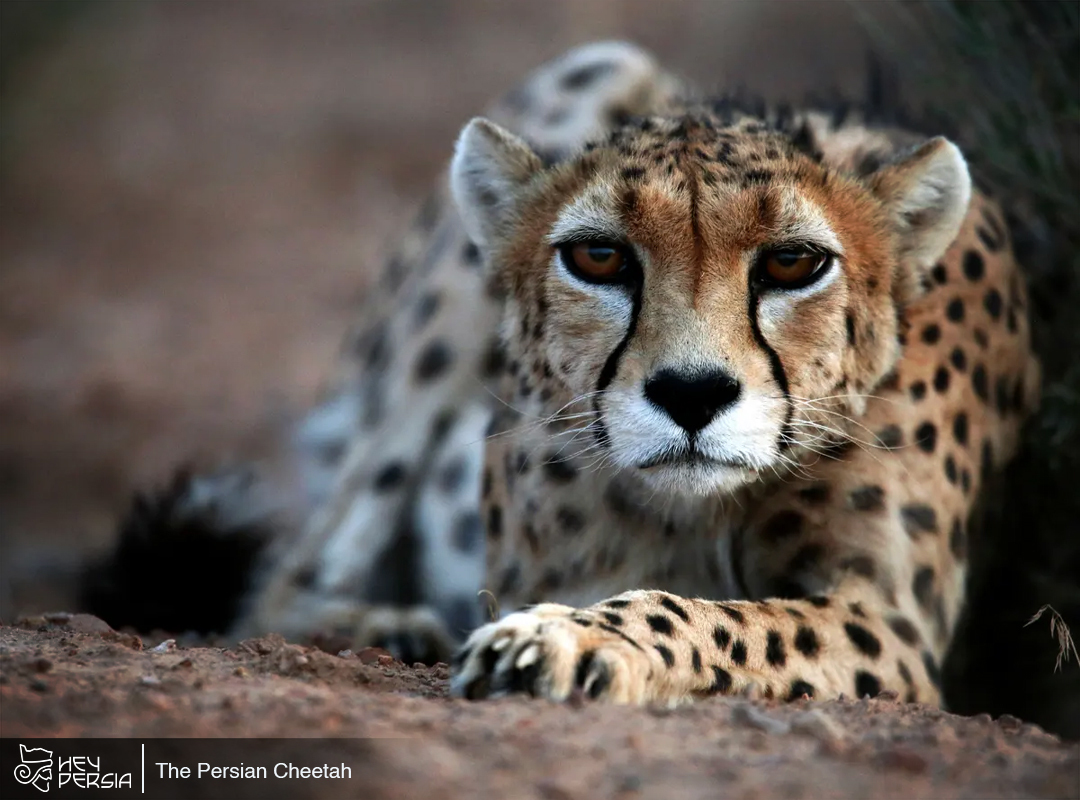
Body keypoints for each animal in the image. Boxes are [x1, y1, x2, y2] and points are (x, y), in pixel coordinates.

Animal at [95, 41, 1039, 710]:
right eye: (599, 257)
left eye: (793, 263)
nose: (691, 395)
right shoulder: (531, 571)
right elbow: (693, 605)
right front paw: (559, 637)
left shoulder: (890, 620)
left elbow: (726, 617)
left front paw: (573, 643)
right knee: (282, 580)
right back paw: (384, 626)